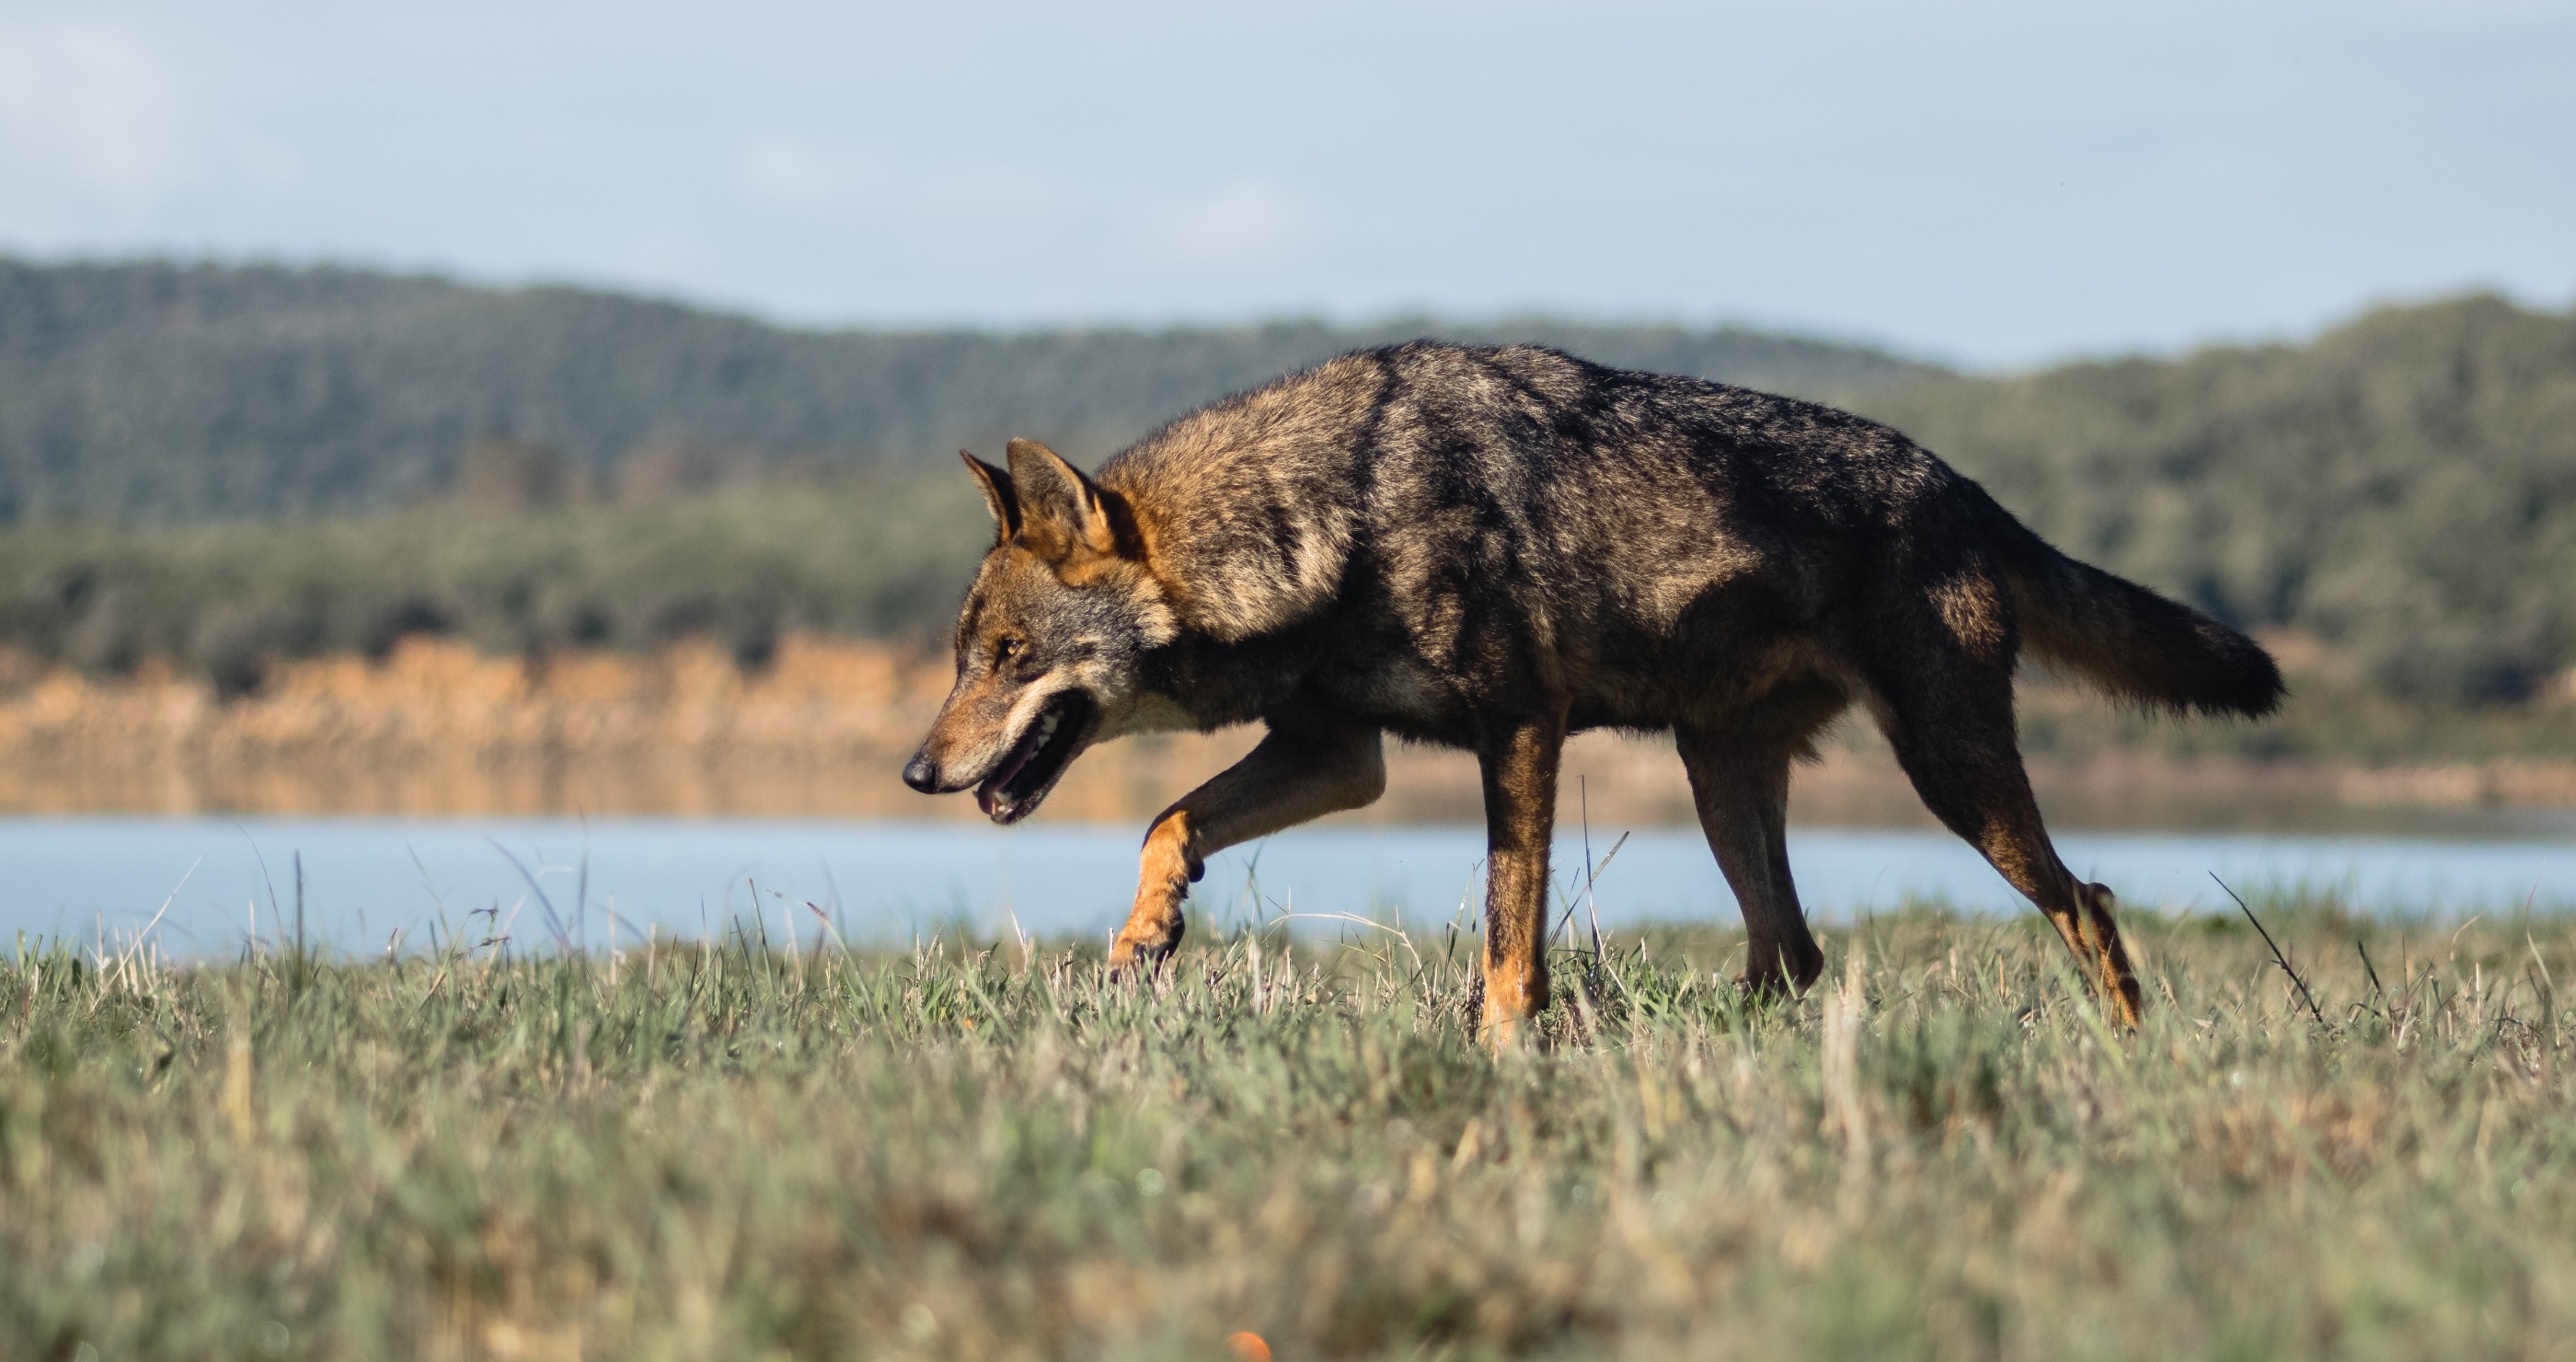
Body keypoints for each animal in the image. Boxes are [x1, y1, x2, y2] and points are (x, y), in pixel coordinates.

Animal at [902, 342, 2282, 1040]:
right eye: (966, 653)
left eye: (1007, 656)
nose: (916, 772)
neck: (1331, 511)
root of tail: (1963, 489)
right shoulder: (1344, 756)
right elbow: (1167, 820)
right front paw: (1148, 931)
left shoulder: (1519, 728)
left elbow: (1510, 941)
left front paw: (1506, 1061)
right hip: (1723, 783)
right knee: (1793, 954)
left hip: (1952, 777)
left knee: (2088, 904)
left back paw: (2132, 1062)